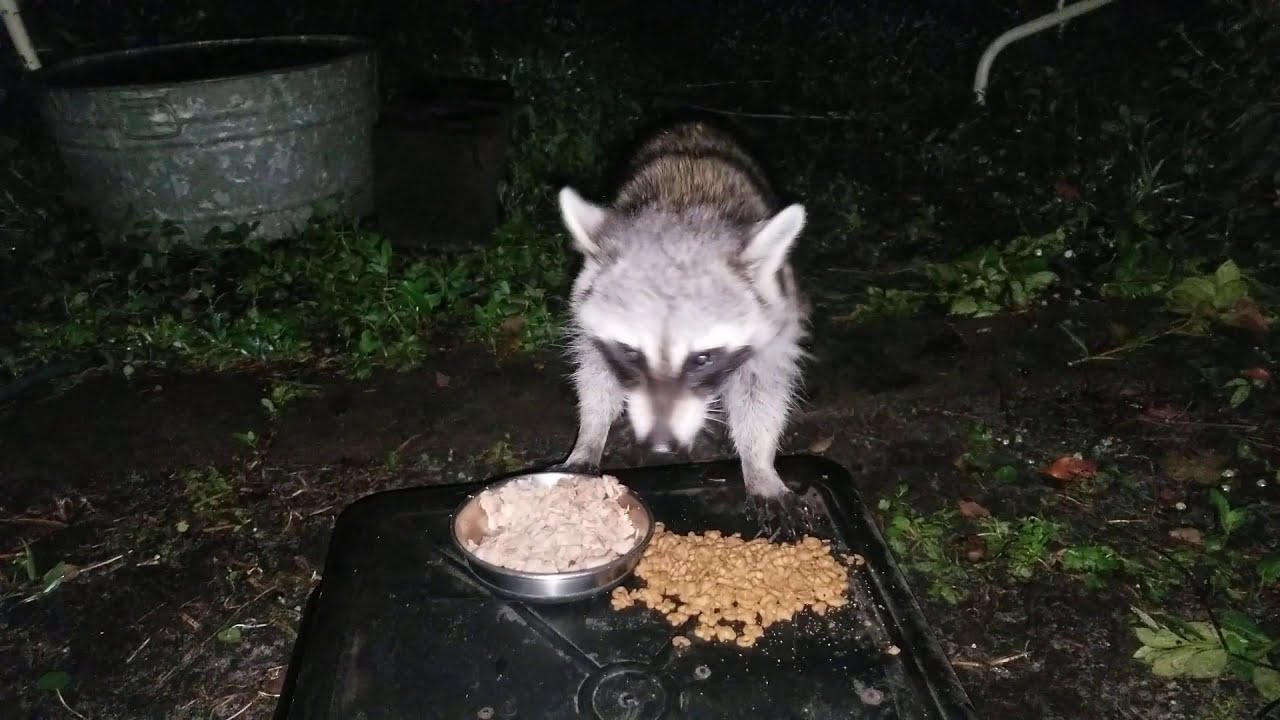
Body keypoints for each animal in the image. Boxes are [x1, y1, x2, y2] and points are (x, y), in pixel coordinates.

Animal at [552, 119, 815, 539]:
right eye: (631, 353)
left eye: (702, 358)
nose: (660, 446)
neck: (682, 209)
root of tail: (693, 123)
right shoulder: (588, 318)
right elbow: (595, 372)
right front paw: (591, 434)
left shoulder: (779, 316)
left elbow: (762, 388)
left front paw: (760, 464)